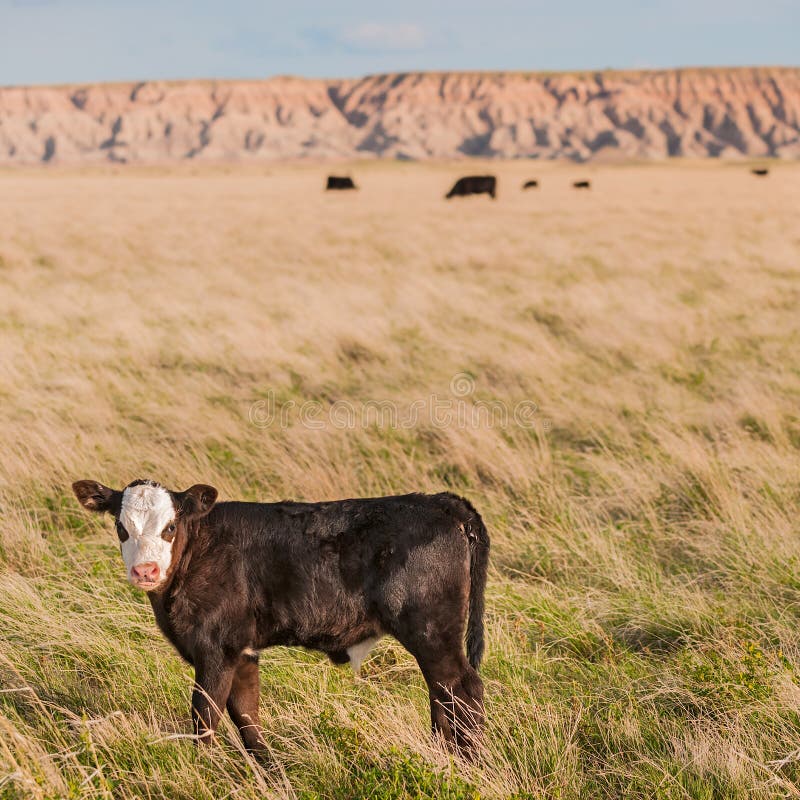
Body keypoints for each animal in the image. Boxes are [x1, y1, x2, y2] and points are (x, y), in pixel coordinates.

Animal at [72, 479, 489, 756]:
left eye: (170, 527)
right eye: (121, 527)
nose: (145, 570)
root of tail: (441, 502)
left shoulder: (215, 648)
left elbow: (205, 716)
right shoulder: (241, 650)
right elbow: (246, 713)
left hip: (431, 631)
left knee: (461, 688)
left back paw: (467, 760)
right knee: (442, 694)